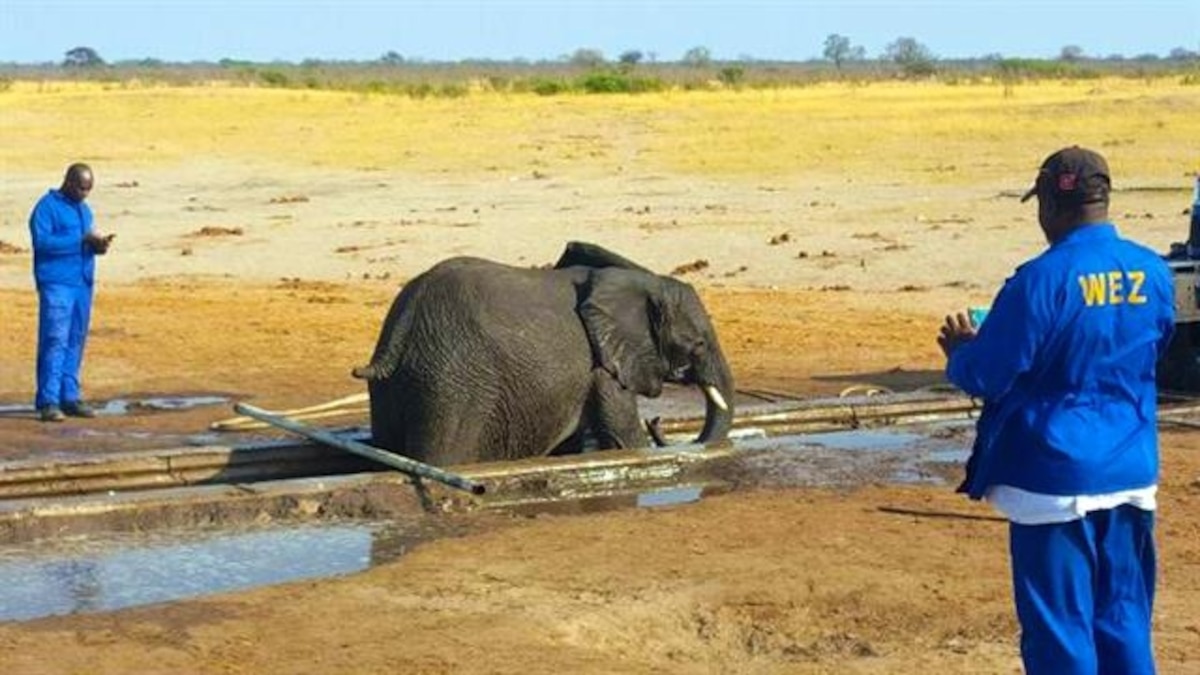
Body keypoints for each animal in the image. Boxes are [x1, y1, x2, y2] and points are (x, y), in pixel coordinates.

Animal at [352, 241, 735, 467]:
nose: (656, 422)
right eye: (698, 344)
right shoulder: (604, 367)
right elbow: (624, 435)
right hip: (454, 381)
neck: (645, 283)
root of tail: (408, 315)